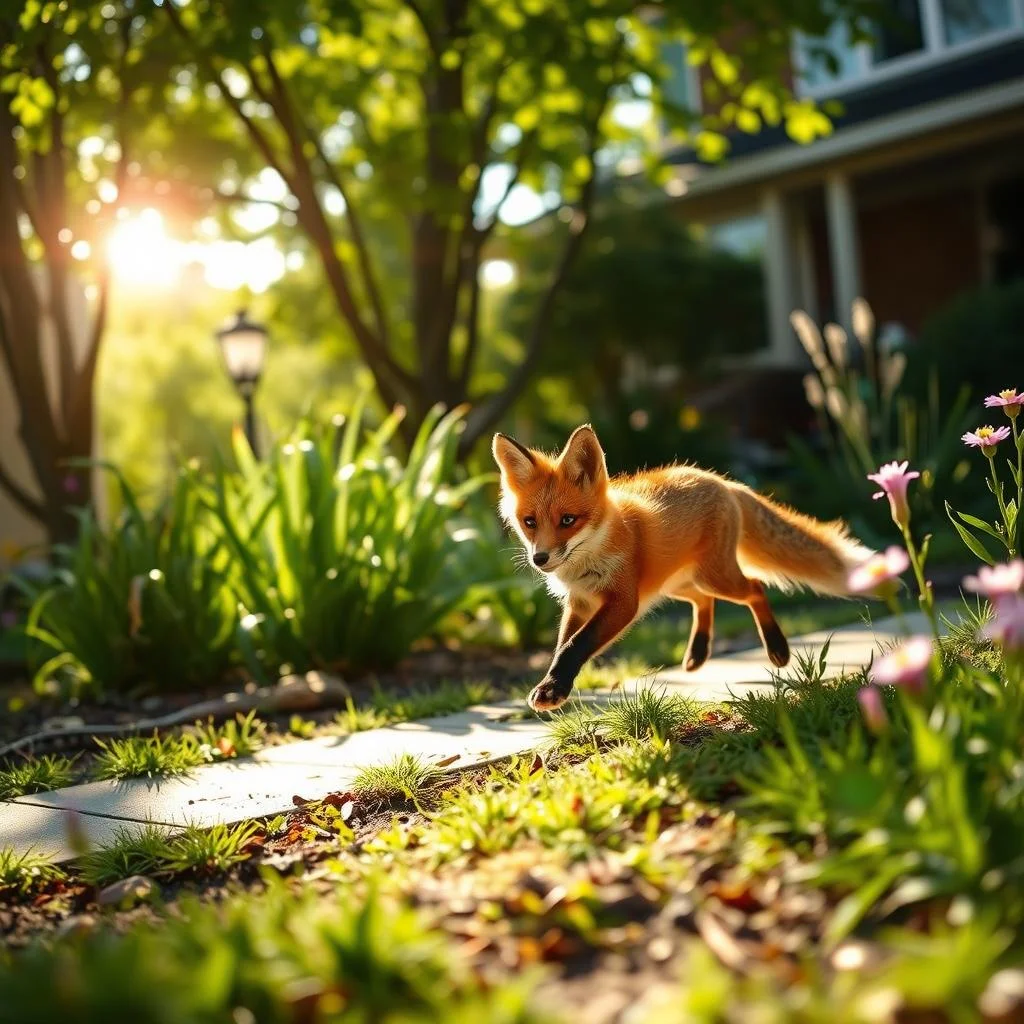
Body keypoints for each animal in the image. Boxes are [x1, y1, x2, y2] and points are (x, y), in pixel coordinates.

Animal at [492, 424, 874, 713]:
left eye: (568, 521)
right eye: (529, 522)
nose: (540, 559)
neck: (589, 558)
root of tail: (721, 480)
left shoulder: (623, 602)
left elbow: (576, 644)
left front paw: (553, 690)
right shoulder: (581, 603)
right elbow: (562, 646)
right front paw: (552, 684)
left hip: (714, 578)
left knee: (754, 587)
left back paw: (777, 648)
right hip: (676, 584)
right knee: (703, 601)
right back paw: (698, 653)